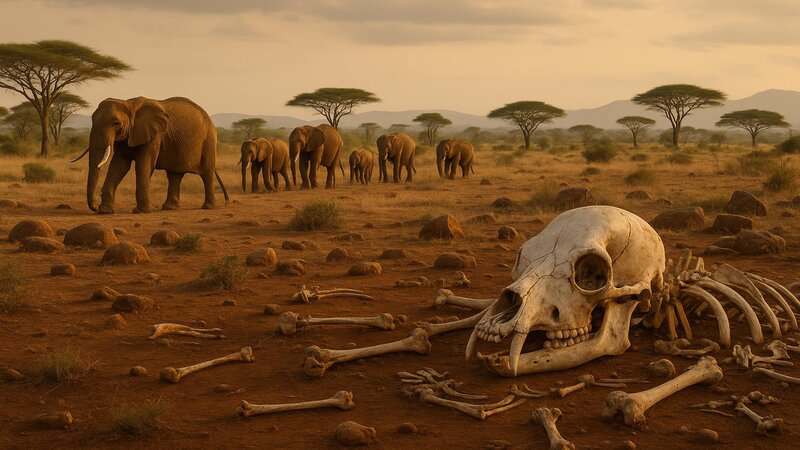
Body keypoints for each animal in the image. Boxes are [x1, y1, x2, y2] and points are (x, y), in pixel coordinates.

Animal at [72, 96, 228, 214]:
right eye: (92, 120)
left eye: (116, 123)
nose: (95, 207)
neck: (129, 103)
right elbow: (119, 166)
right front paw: (105, 211)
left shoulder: (154, 135)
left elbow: (144, 164)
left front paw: (140, 211)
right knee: (174, 175)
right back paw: (169, 208)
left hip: (208, 140)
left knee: (206, 173)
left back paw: (207, 207)